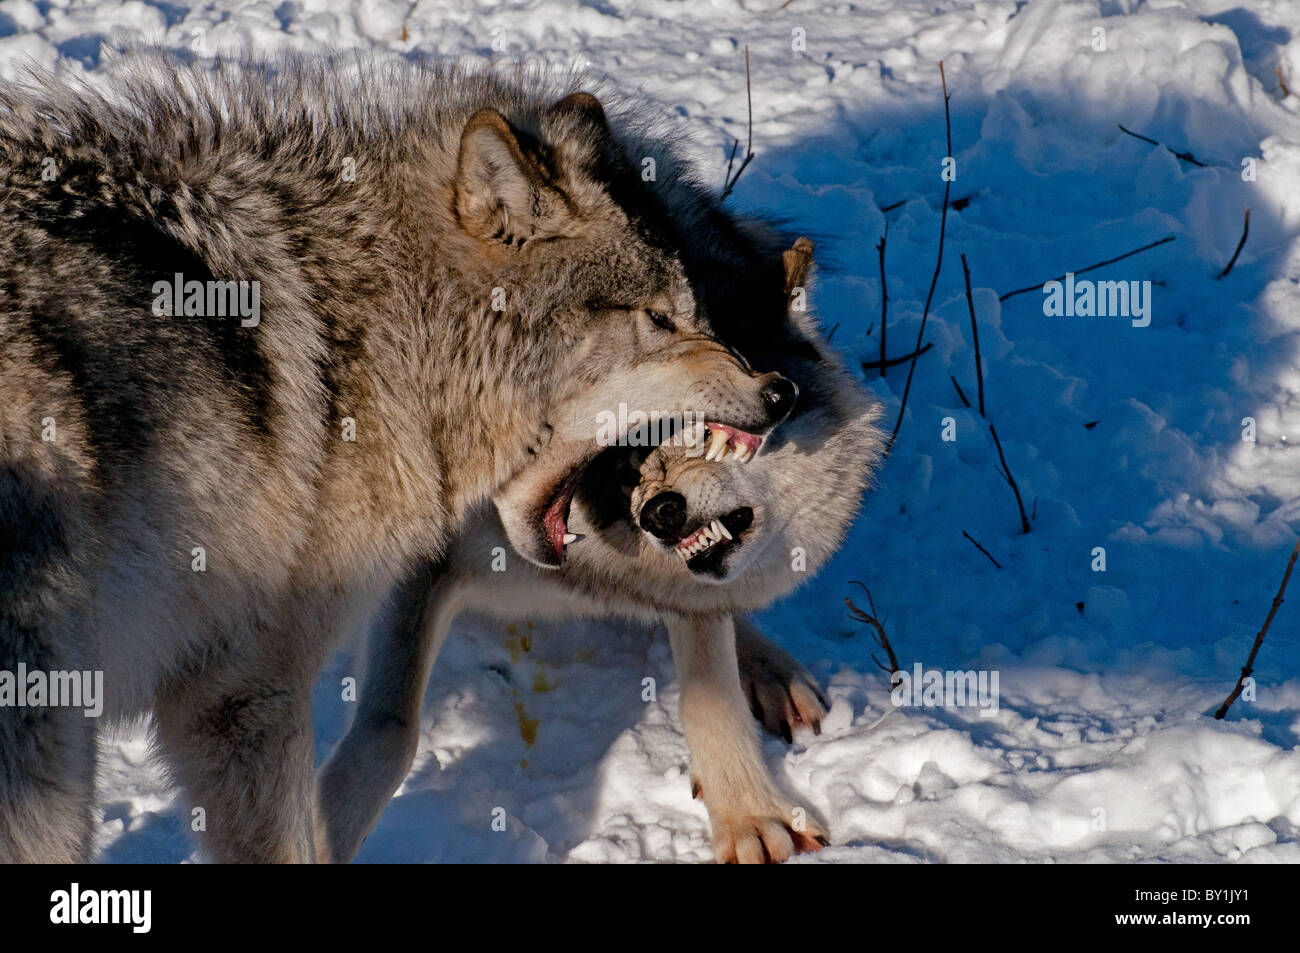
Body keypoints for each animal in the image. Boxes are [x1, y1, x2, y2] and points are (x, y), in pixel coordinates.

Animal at [319, 236, 886, 863]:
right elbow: (389, 728)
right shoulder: (416, 557)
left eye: (714, 435)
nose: (660, 512)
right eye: (627, 469)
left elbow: (709, 693)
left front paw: (752, 816)